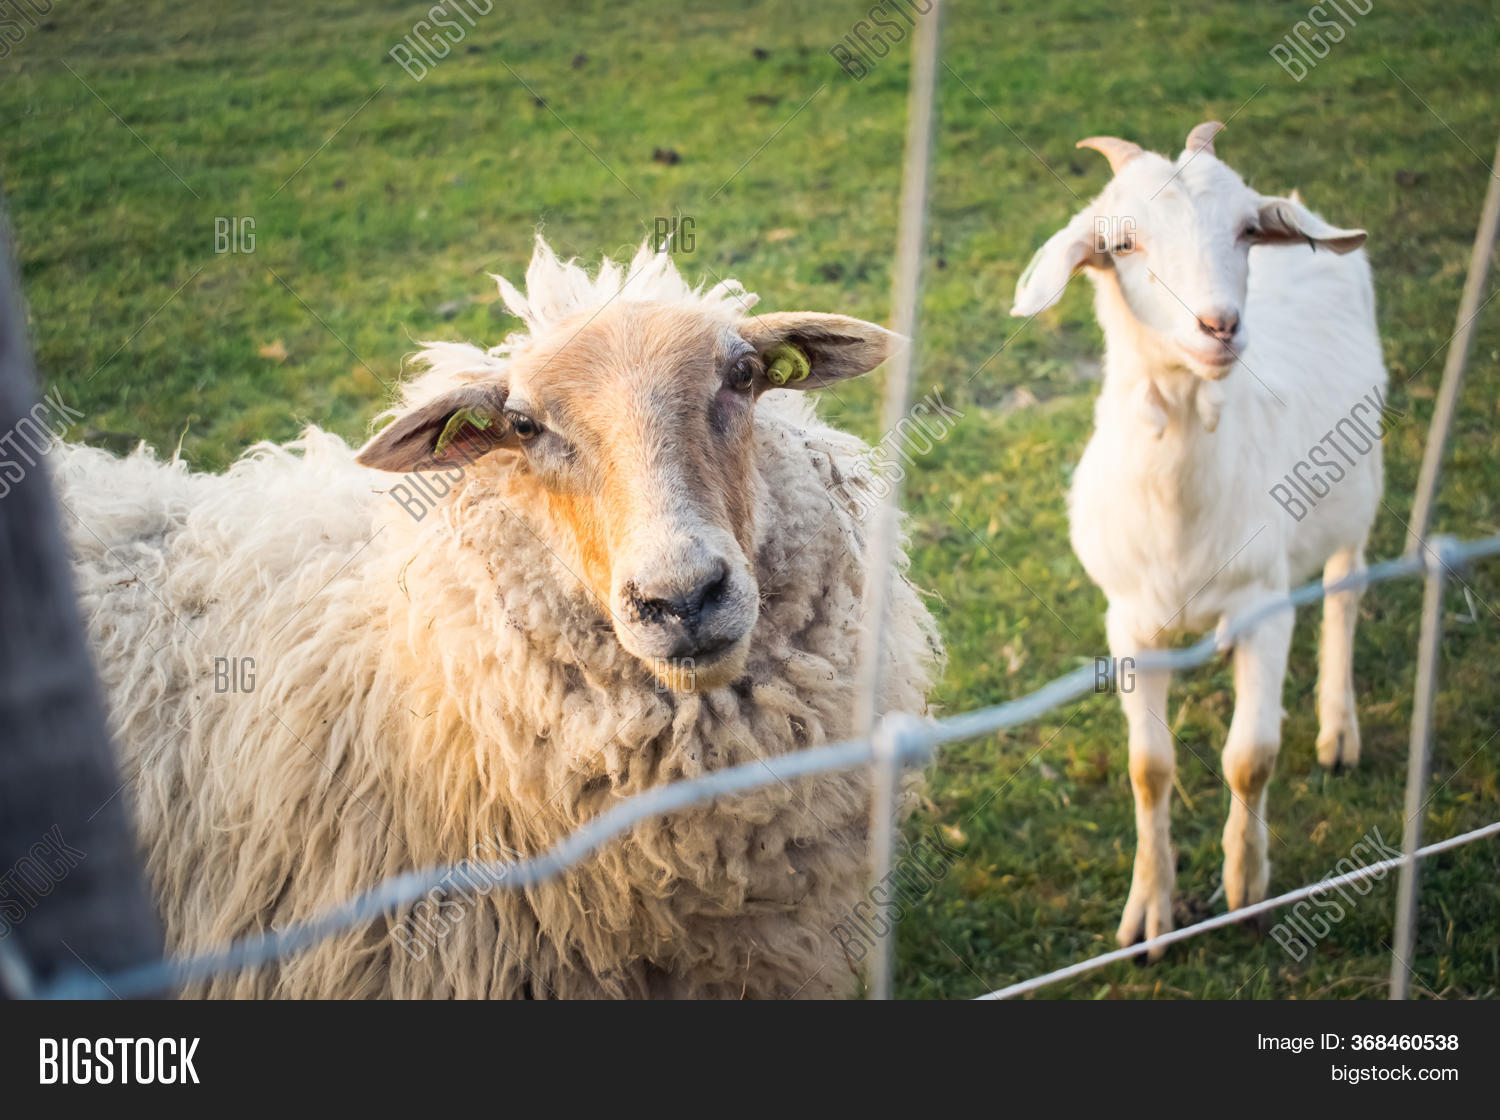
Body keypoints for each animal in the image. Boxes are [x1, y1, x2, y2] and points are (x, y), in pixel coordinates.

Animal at [1012, 122, 1384, 954]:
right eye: (1121, 243)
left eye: (1248, 230)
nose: (1218, 326)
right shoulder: (1127, 623)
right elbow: (1148, 767)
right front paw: (1149, 913)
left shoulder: (1265, 606)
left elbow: (1251, 758)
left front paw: (1246, 885)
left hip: (1359, 492)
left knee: (1345, 590)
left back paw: (1339, 731)